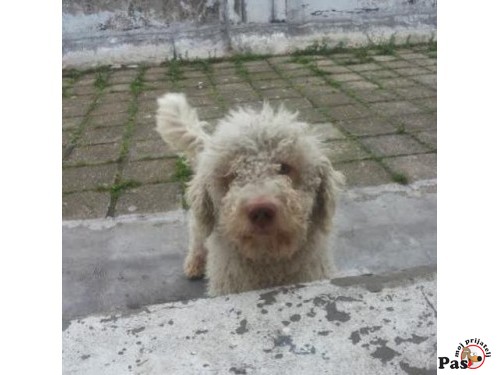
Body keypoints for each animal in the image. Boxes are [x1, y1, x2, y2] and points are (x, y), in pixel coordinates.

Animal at [156, 93, 344, 296]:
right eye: (233, 173)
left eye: (284, 168)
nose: (261, 210)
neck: (268, 263)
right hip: (200, 221)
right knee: (197, 237)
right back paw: (194, 263)